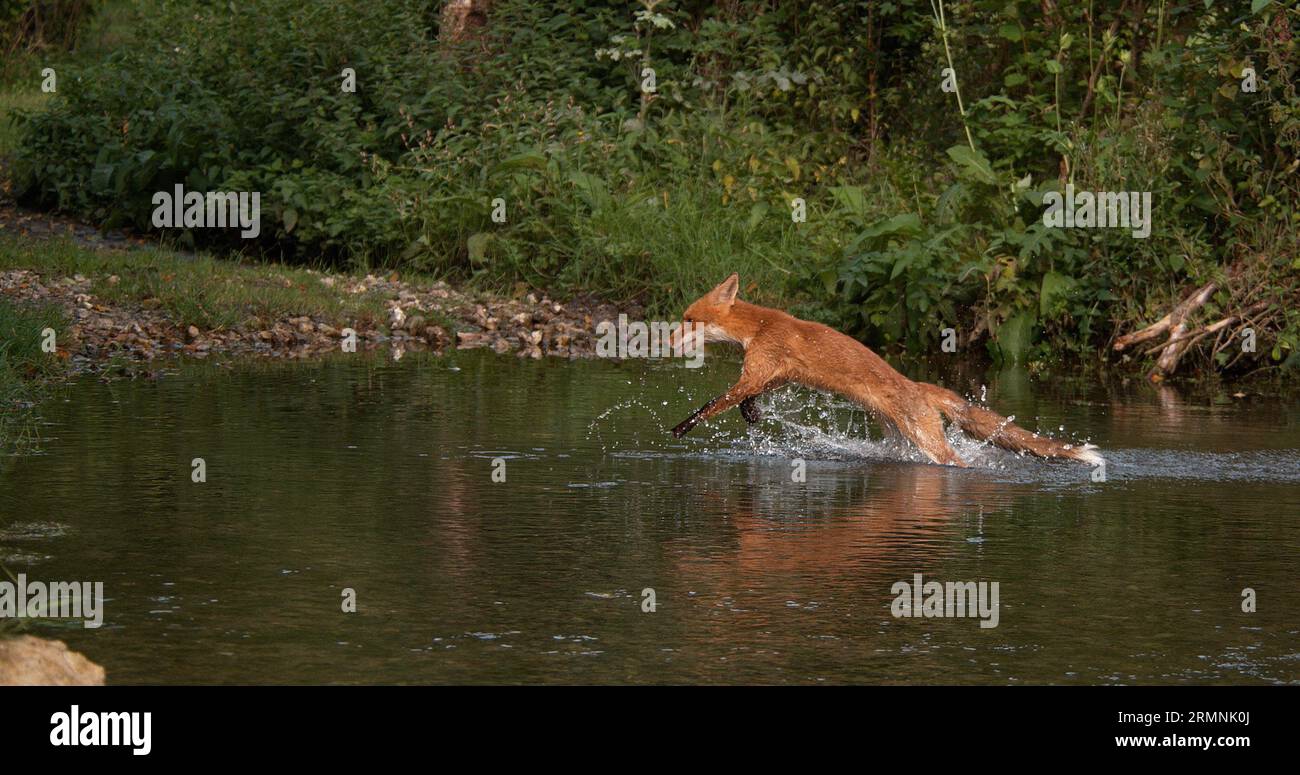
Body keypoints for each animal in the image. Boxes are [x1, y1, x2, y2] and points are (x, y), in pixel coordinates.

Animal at [666, 273, 1103, 468]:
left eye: (688, 320)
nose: (667, 341)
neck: (758, 327)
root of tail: (919, 385)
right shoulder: (775, 374)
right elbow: (745, 399)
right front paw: (751, 414)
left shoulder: (758, 369)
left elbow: (713, 404)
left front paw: (682, 427)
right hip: (900, 441)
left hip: (928, 442)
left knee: (956, 461)